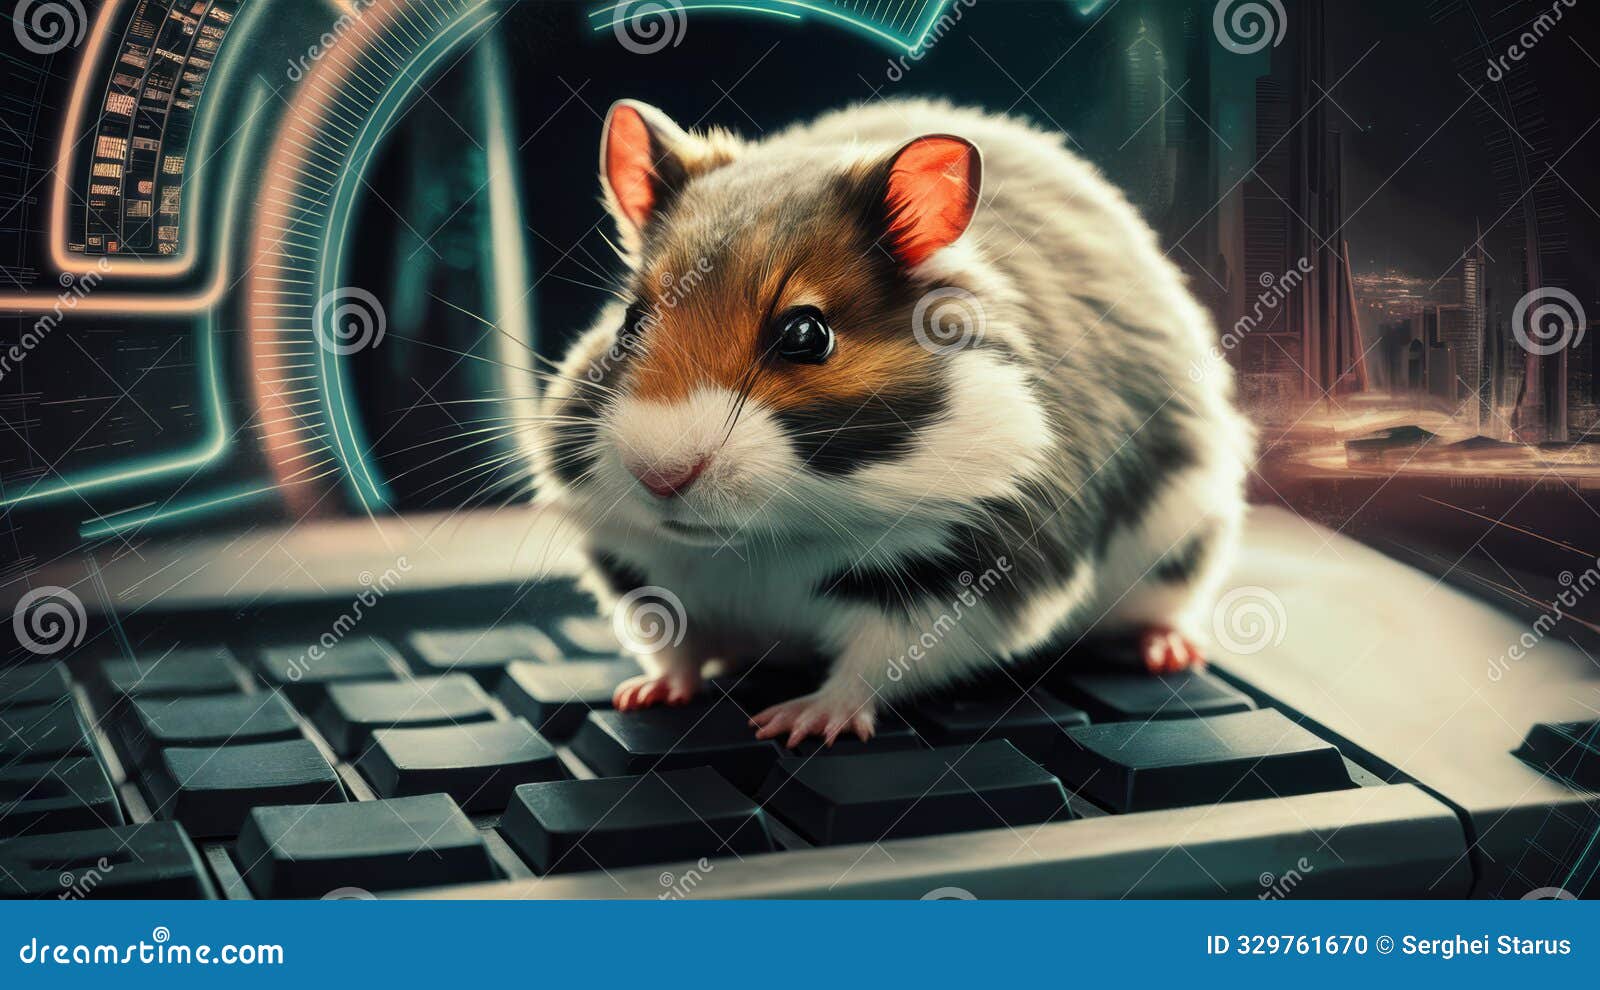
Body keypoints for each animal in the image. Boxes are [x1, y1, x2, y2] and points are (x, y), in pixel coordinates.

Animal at [532, 98, 1254, 748]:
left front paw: (798, 725)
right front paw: (642, 696)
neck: (759, 544)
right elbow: (675, 645)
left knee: (1163, 608)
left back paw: (1169, 652)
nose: (659, 477)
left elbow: (876, 662)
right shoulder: (640, 565)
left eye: (806, 334)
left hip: (1183, 535)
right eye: (630, 323)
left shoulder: (973, 574)